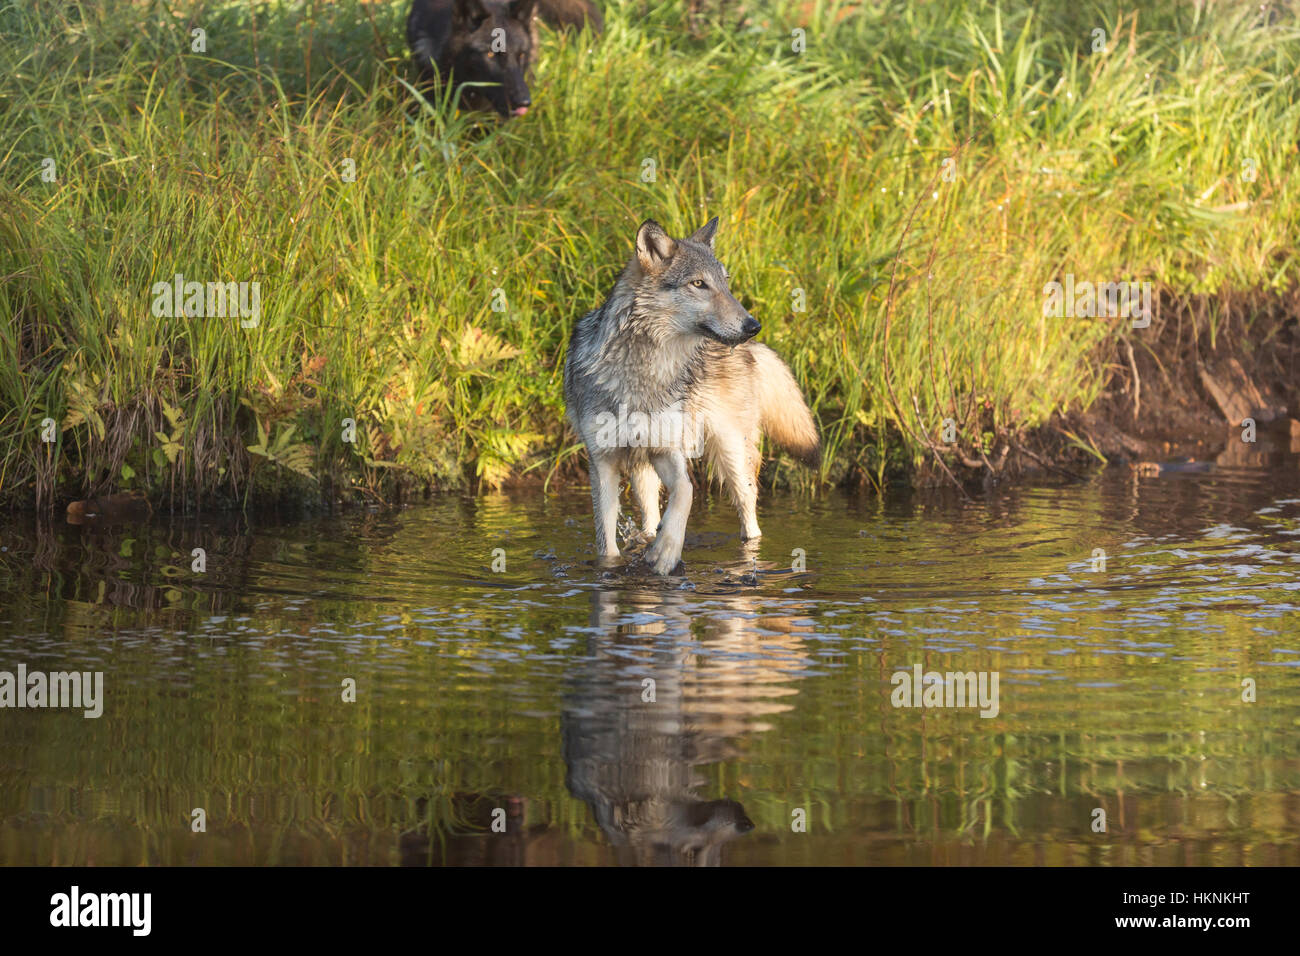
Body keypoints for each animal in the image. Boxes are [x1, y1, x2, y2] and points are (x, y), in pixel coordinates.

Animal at [564, 218, 820, 575]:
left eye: (725, 283)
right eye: (699, 284)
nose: (752, 324)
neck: (643, 373)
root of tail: (752, 349)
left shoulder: (667, 450)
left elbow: (686, 490)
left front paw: (667, 551)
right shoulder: (603, 461)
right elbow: (606, 540)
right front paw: (616, 563)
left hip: (733, 457)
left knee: (750, 522)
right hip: (643, 471)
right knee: (650, 515)